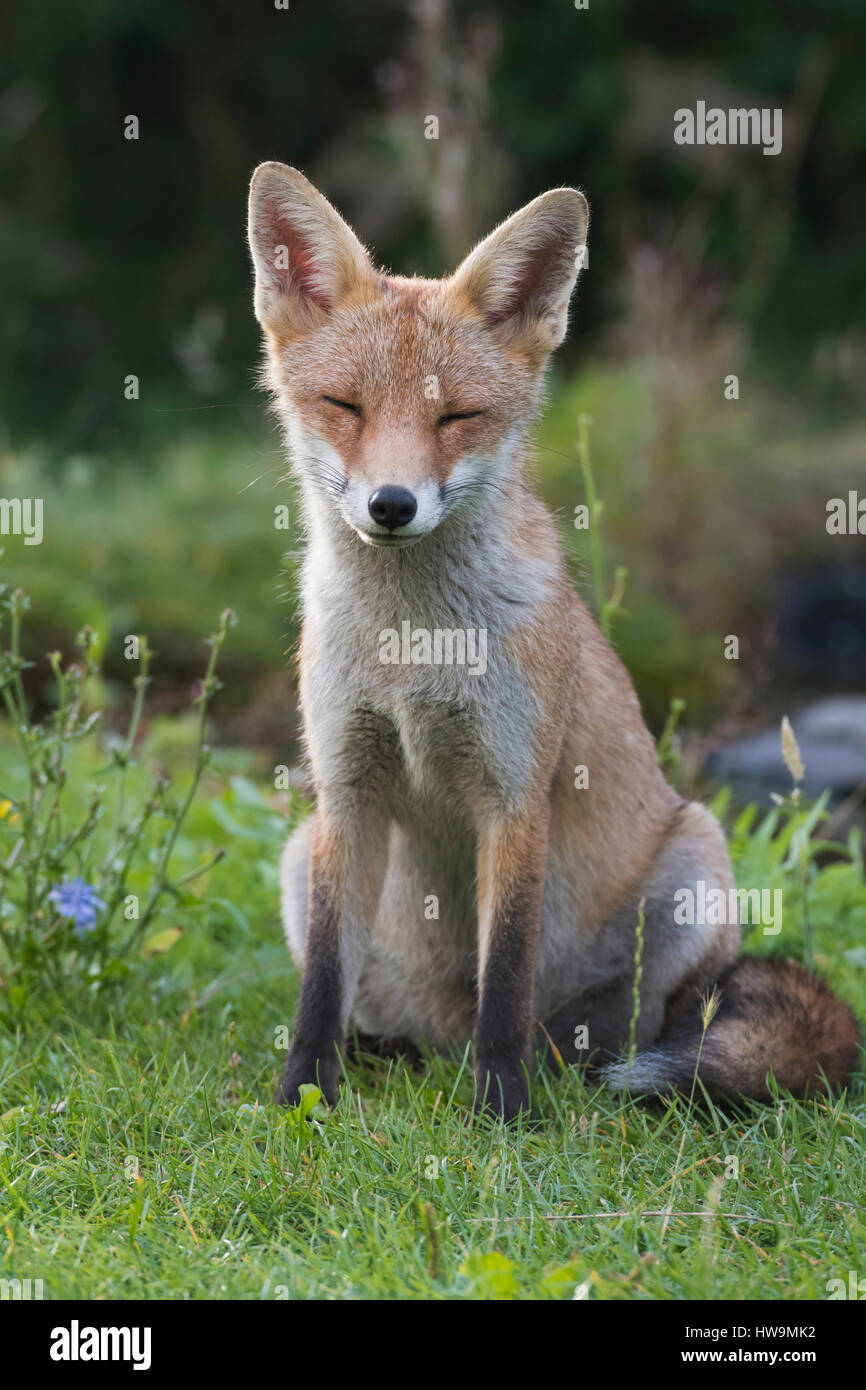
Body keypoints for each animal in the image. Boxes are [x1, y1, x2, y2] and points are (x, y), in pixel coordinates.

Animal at [247, 161, 861, 1120]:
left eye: (457, 417)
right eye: (344, 405)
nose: (392, 505)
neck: (415, 652)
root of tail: (441, 1039)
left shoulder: (513, 792)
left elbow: (505, 973)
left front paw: (501, 1115)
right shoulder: (346, 791)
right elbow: (320, 989)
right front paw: (302, 1098)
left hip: (696, 863)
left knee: (642, 1028)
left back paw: (584, 1074)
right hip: (299, 854)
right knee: (386, 1012)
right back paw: (389, 1055)